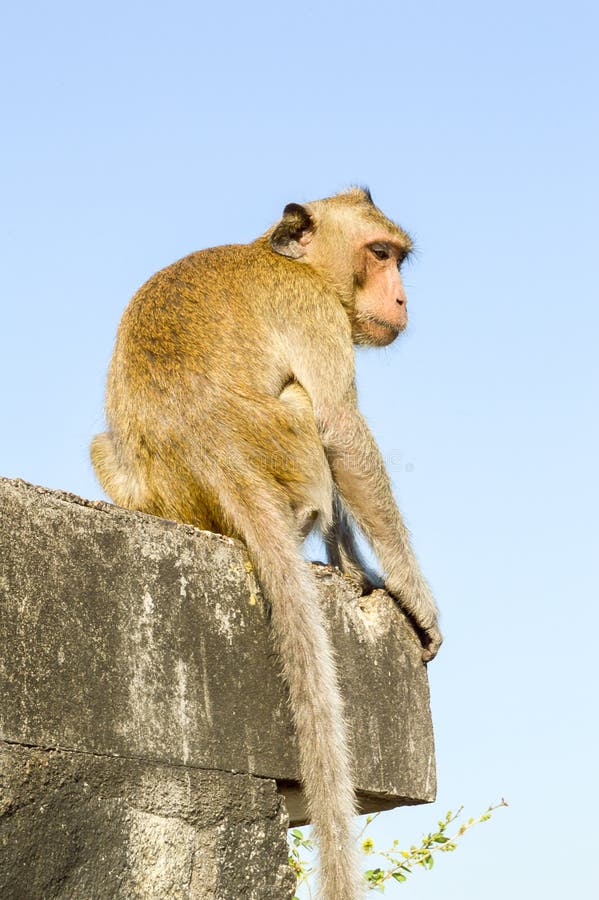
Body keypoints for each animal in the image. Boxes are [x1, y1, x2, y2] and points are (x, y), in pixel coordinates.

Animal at [91, 187, 442, 900]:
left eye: (398, 258)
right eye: (380, 254)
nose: (401, 298)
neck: (291, 261)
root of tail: (217, 454)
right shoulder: (314, 314)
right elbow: (342, 429)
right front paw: (415, 599)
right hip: (291, 454)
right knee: (313, 413)